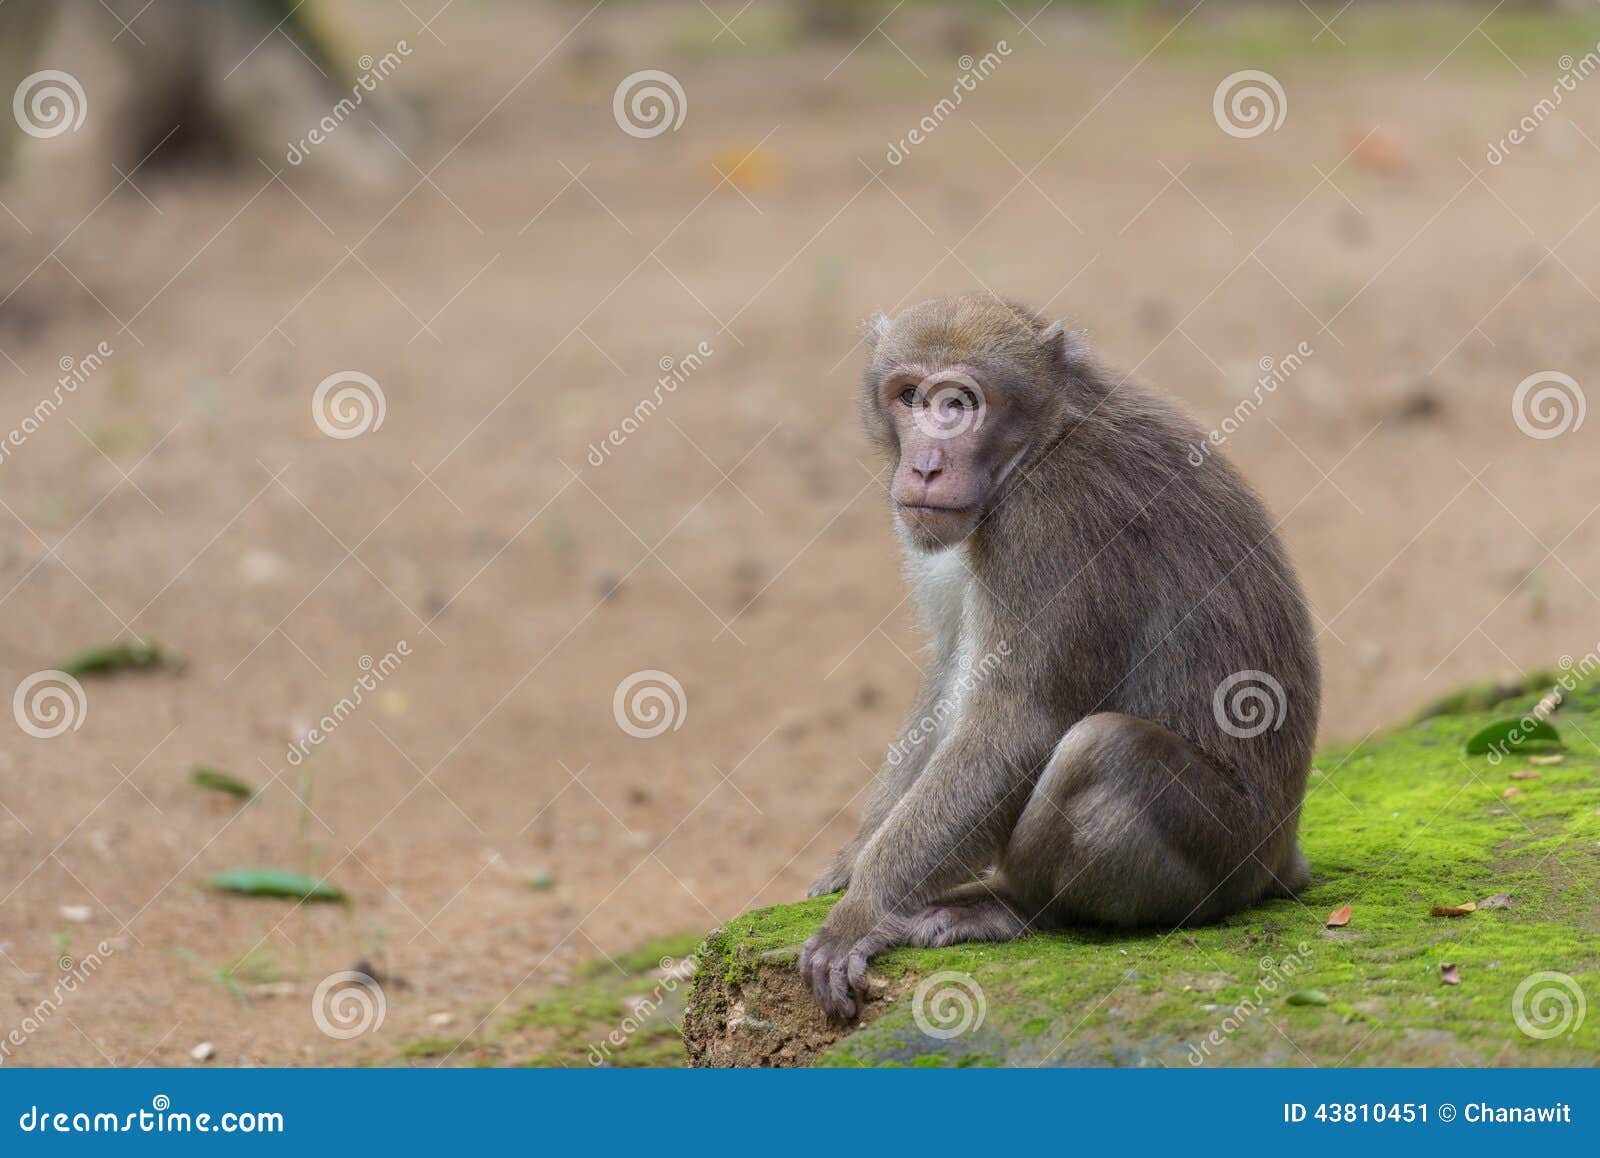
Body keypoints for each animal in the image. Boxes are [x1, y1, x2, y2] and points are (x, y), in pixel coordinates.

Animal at [799, 294, 1320, 1019]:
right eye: (909, 396)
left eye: (960, 404)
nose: (925, 465)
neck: (1040, 441)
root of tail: (1281, 859)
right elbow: (952, 670)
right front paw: (855, 855)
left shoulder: (1054, 524)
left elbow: (1019, 723)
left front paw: (863, 909)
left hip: (1226, 855)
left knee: (1101, 751)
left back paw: (1021, 908)